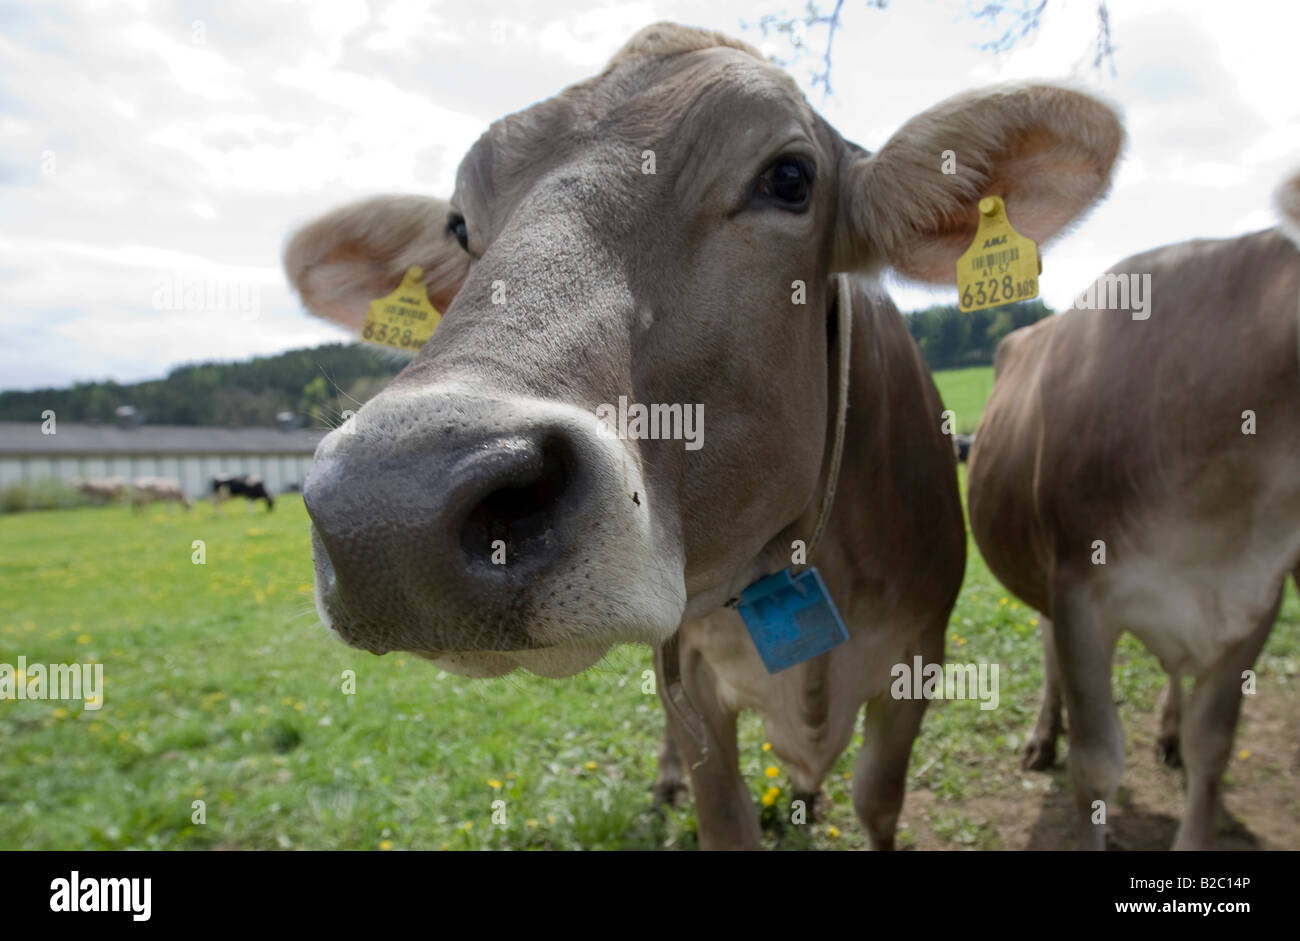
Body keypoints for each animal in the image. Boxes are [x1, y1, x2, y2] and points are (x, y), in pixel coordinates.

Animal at [283, 23, 1122, 849]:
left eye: (790, 179)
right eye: (459, 227)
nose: (392, 504)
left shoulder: (916, 657)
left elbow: (878, 800)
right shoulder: (689, 673)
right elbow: (721, 809)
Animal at [968, 167, 1300, 850]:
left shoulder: (1256, 597)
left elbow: (1212, 748)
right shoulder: (1080, 590)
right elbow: (1096, 765)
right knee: (1047, 648)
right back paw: (1044, 736)